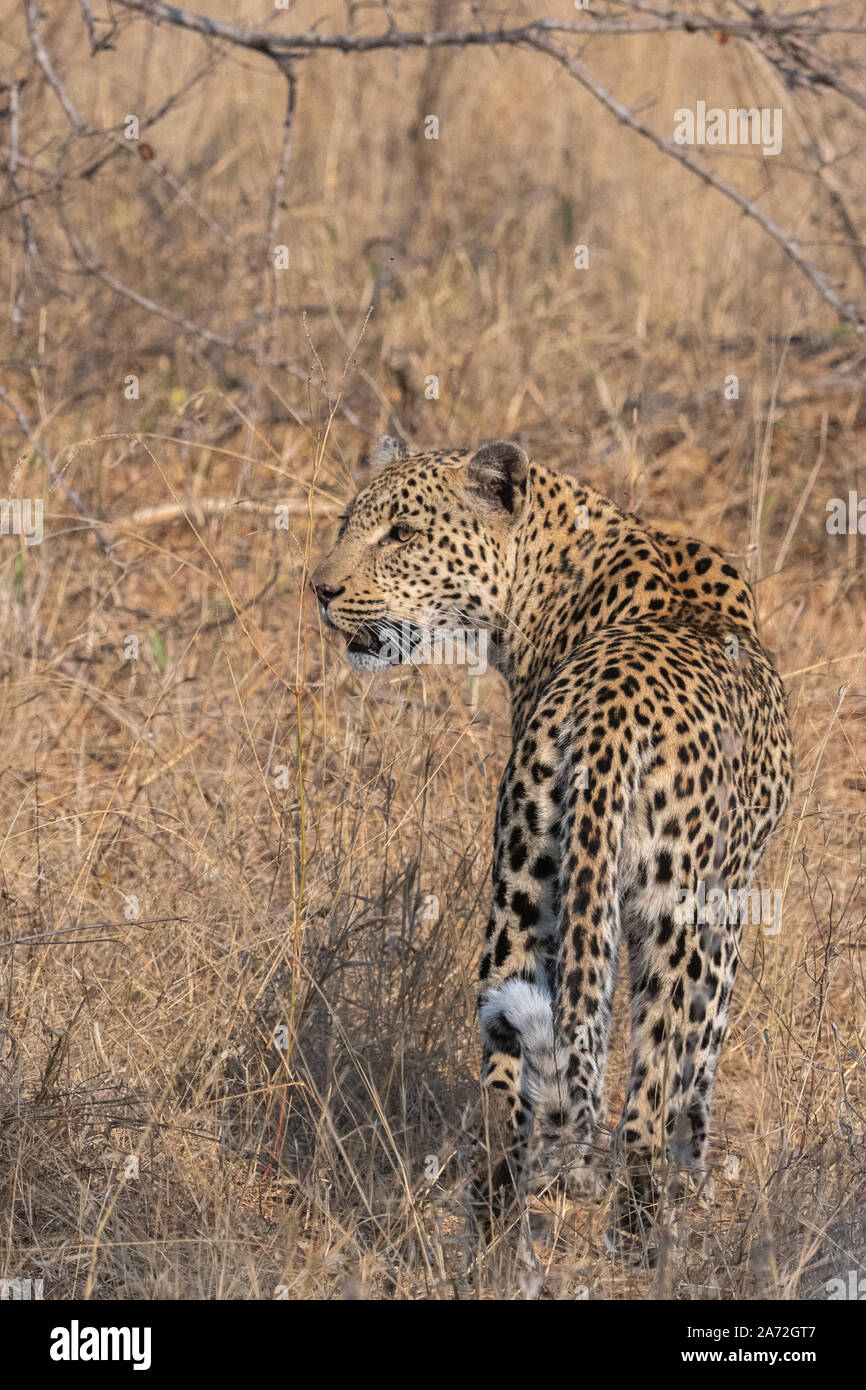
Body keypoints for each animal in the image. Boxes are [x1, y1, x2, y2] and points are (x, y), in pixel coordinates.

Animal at [312, 435, 793, 1242]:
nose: (318, 588)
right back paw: (640, 1229)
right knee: (645, 1096)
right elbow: (705, 1057)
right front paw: (695, 1176)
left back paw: (498, 1229)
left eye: (401, 534)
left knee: (509, 1091)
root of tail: (610, 721)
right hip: (669, 920)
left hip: (519, 889)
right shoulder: (728, 905)